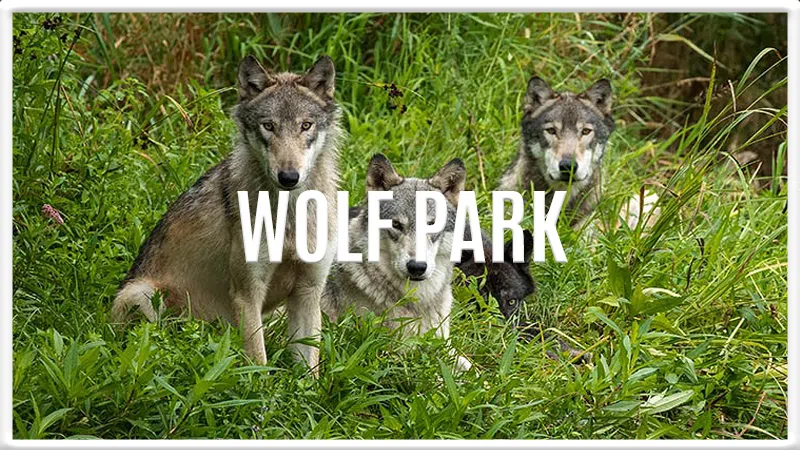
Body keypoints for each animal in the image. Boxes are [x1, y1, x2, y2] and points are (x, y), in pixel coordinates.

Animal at [111, 55, 343, 373]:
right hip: (141, 293)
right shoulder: (247, 293)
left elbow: (308, 371)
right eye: (268, 126)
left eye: (305, 125)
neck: (289, 214)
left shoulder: (308, 292)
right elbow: (258, 362)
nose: (288, 177)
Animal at [322, 154, 472, 371]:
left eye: (432, 224)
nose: (417, 267)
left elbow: (474, 369)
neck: (419, 301)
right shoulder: (397, 350)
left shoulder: (442, 343)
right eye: (396, 224)